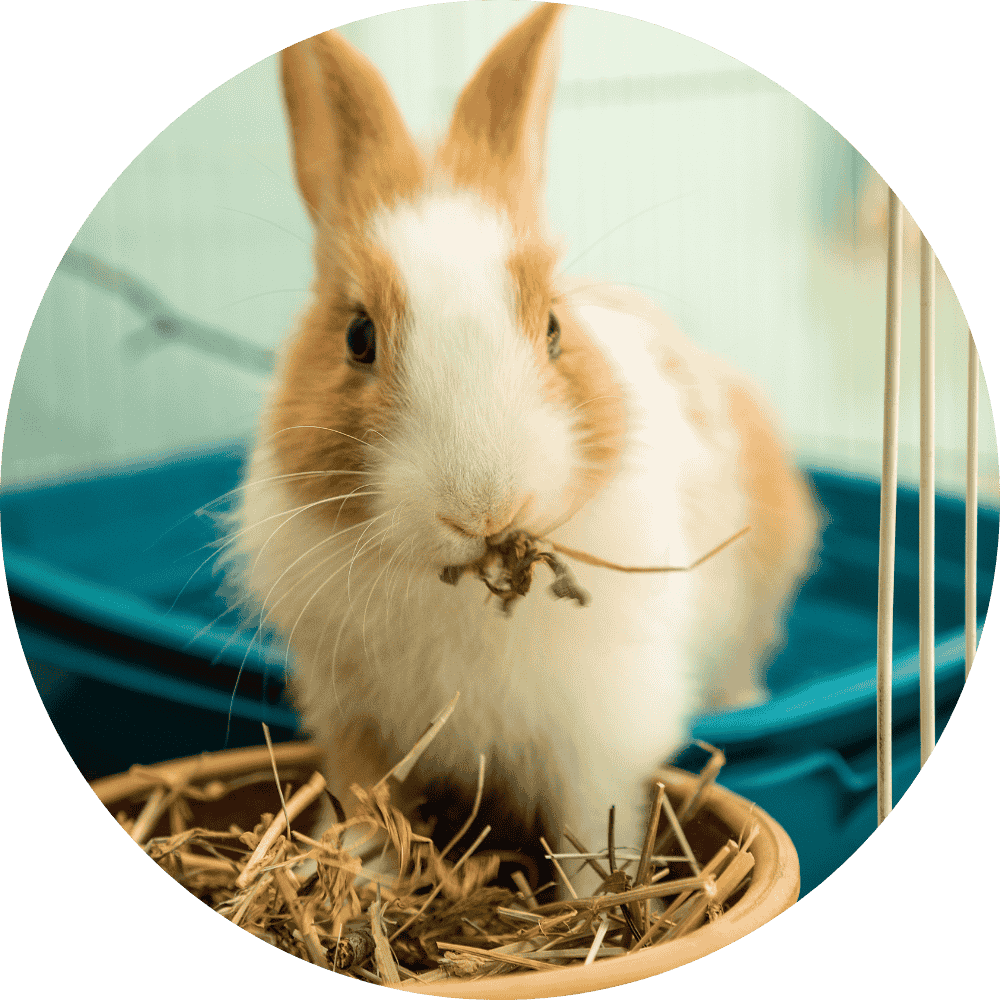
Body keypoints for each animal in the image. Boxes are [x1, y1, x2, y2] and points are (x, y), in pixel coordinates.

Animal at [226, 3, 819, 892]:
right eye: (358, 337)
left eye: (554, 329)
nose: (485, 507)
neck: (461, 590)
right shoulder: (354, 718)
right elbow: (368, 807)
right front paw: (366, 880)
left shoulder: (595, 732)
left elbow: (589, 832)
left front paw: (593, 905)